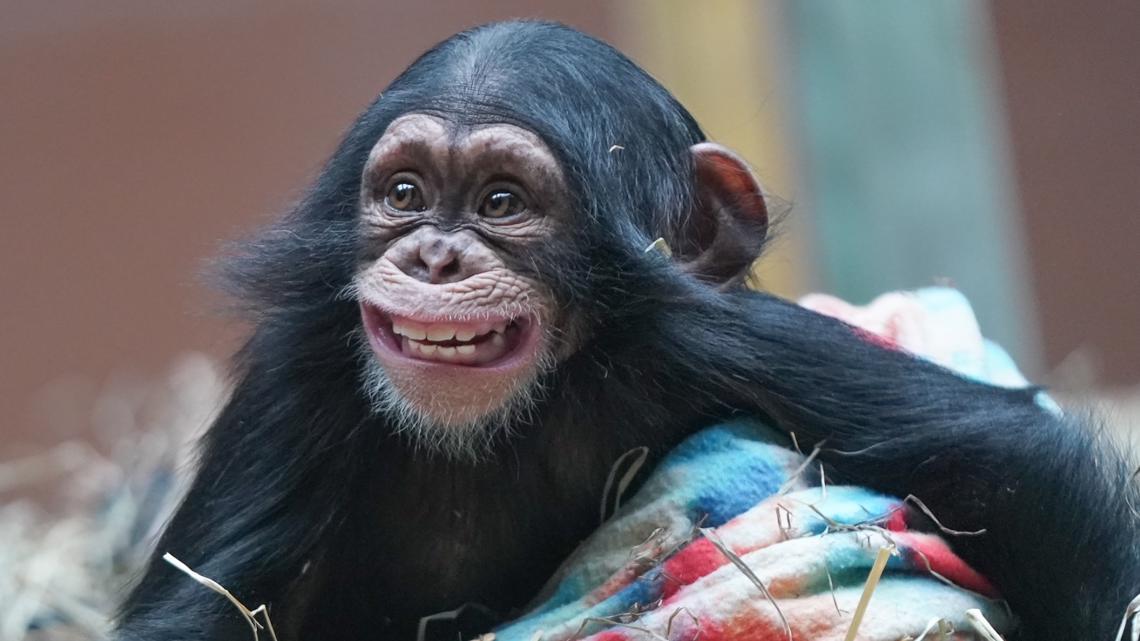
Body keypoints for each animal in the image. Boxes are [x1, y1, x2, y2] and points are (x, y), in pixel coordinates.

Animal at [116, 20, 1139, 641]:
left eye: (501, 201)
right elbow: (199, 602)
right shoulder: (304, 369)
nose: (434, 255)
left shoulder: (711, 334)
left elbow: (1000, 455)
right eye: (404, 193)